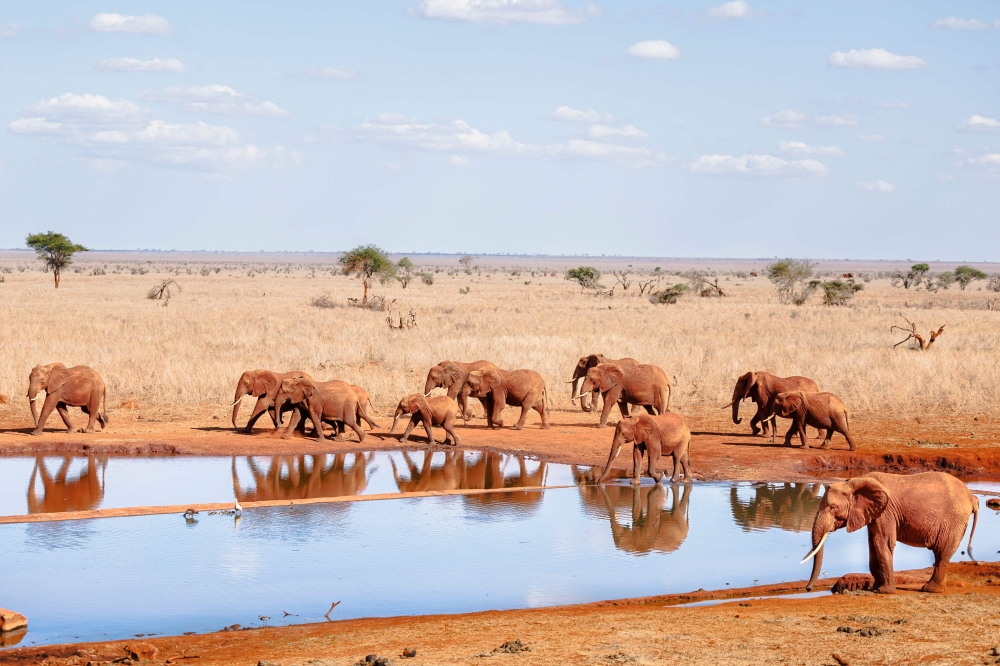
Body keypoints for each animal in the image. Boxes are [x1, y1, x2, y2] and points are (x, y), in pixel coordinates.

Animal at [802, 472, 979, 594]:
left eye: (833, 507)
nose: (808, 589)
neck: (855, 481)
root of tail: (972, 498)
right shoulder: (874, 514)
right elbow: (873, 544)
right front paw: (876, 587)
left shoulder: (886, 512)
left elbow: (882, 543)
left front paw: (884, 591)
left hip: (954, 519)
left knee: (942, 551)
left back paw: (930, 589)